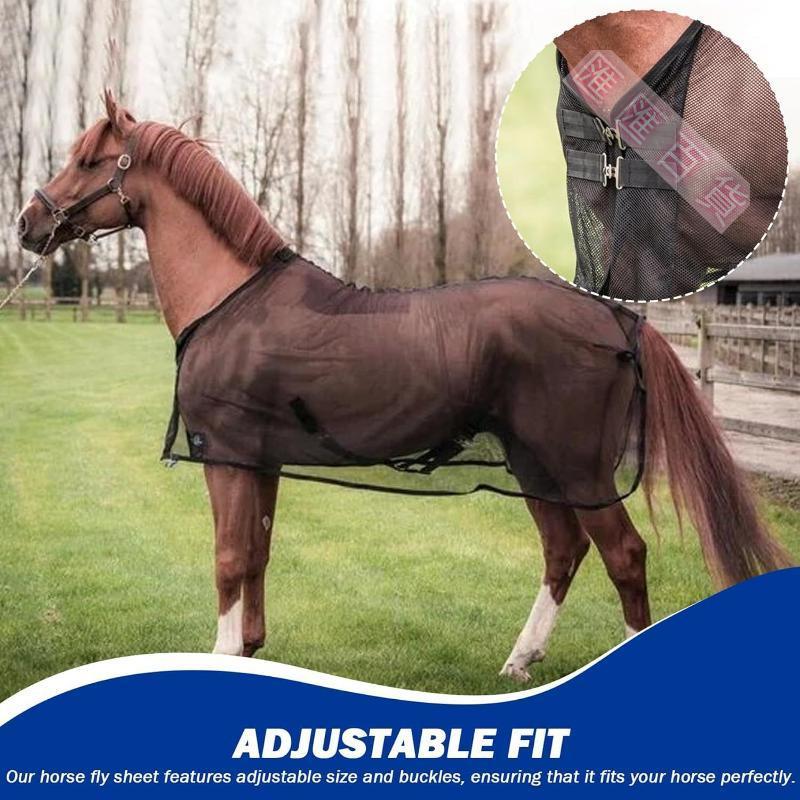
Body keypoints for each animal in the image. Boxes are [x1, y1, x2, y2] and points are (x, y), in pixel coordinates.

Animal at [17, 90, 790, 683]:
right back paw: (519, 660)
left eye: (89, 159)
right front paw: (253, 650)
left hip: (575, 466)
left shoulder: (228, 458)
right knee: (563, 550)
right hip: (533, 463)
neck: (232, 299)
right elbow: (258, 553)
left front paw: (224, 654)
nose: (28, 223)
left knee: (623, 556)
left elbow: (229, 559)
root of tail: (615, 316)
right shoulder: (258, 461)